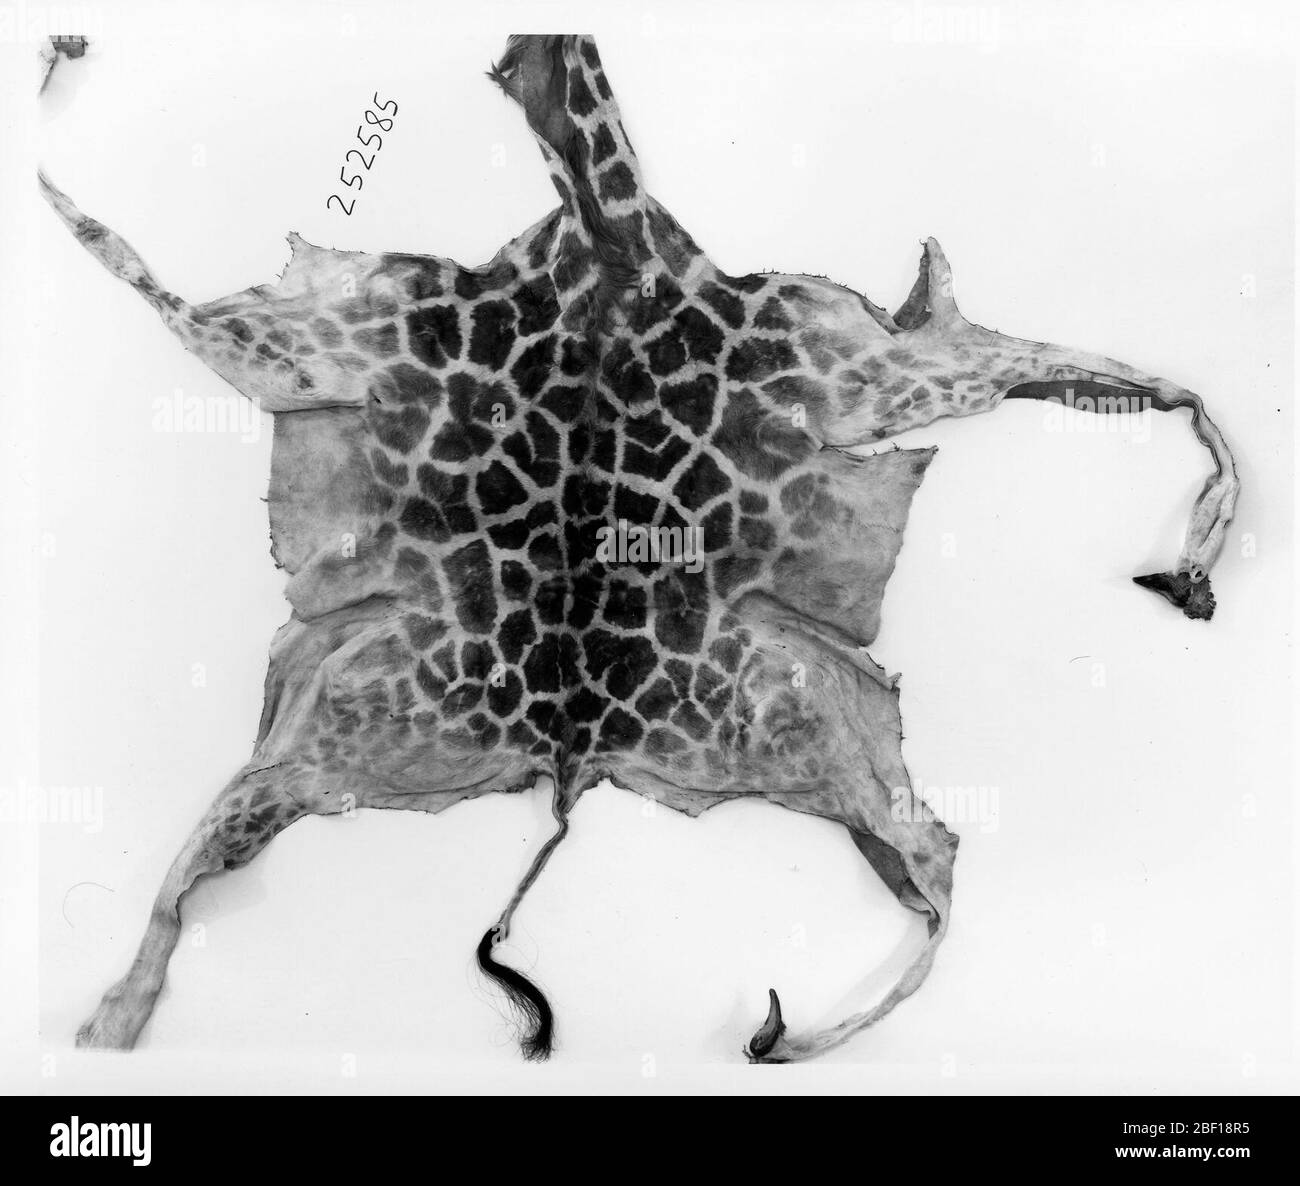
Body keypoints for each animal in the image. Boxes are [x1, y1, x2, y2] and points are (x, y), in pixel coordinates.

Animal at [43, 34, 1238, 1063]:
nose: (540, 50)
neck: (604, 256)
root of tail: (572, 757)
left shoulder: (855, 354)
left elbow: (1148, 387)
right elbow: (119, 253)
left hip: (780, 704)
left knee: (930, 868)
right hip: (356, 708)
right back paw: (108, 1023)